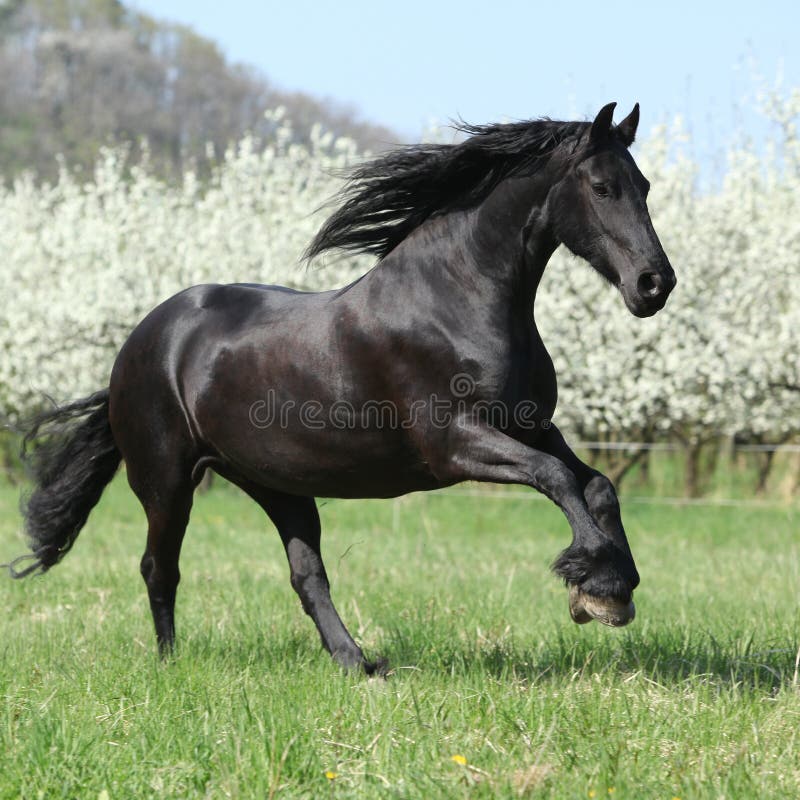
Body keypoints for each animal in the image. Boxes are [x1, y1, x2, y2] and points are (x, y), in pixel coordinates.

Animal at [8, 102, 675, 674]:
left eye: (643, 186)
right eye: (601, 187)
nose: (654, 284)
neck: (456, 299)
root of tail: (138, 344)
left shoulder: (531, 424)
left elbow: (597, 484)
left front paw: (613, 588)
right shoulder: (455, 444)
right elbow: (557, 478)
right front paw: (596, 587)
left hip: (279, 487)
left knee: (306, 576)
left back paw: (359, 663)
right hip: (166, 481)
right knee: (159, 567)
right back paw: (172, 664)